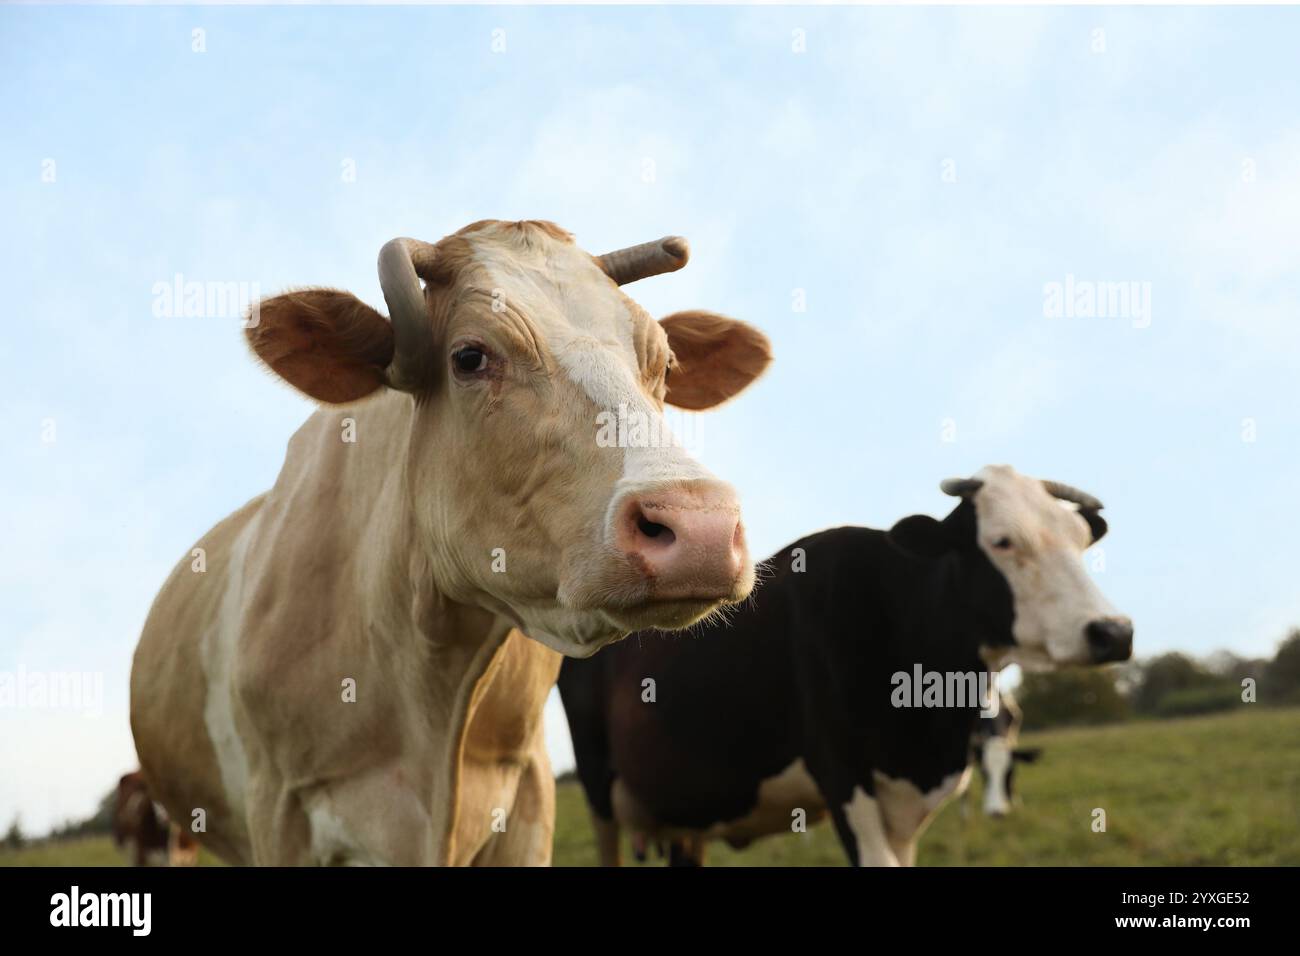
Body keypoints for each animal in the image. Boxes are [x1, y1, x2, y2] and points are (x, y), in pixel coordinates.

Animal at [557, 465, 1133, 866]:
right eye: (1002, 541)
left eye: (1081, 541)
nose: (1114, 632)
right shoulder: (843, 778)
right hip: (598, 793)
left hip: (685, 814)